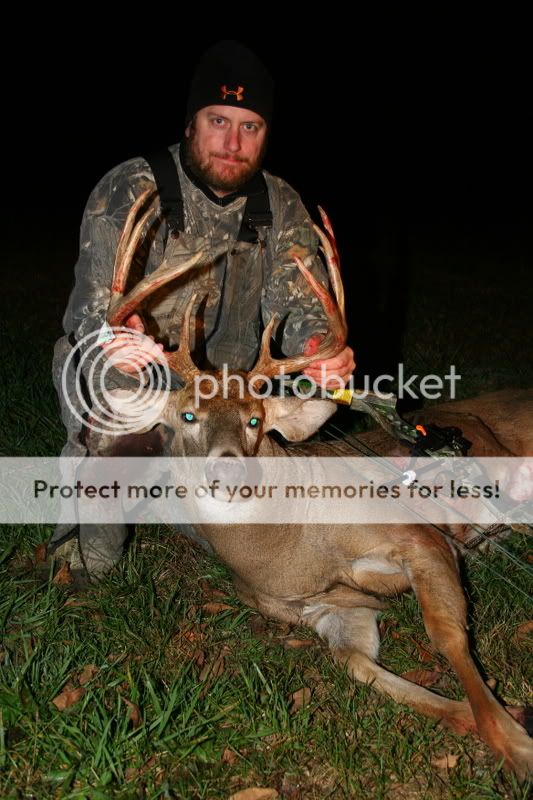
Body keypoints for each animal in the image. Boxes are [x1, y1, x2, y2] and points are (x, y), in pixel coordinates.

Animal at [87, 188, 533, 781]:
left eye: (255, 420)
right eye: (187, 416)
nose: (227, 470)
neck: (298, 546)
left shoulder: (419, 538)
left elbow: (446, 633)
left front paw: (515, 742)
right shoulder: (330, 610)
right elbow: (358, 666)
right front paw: (475, 717)